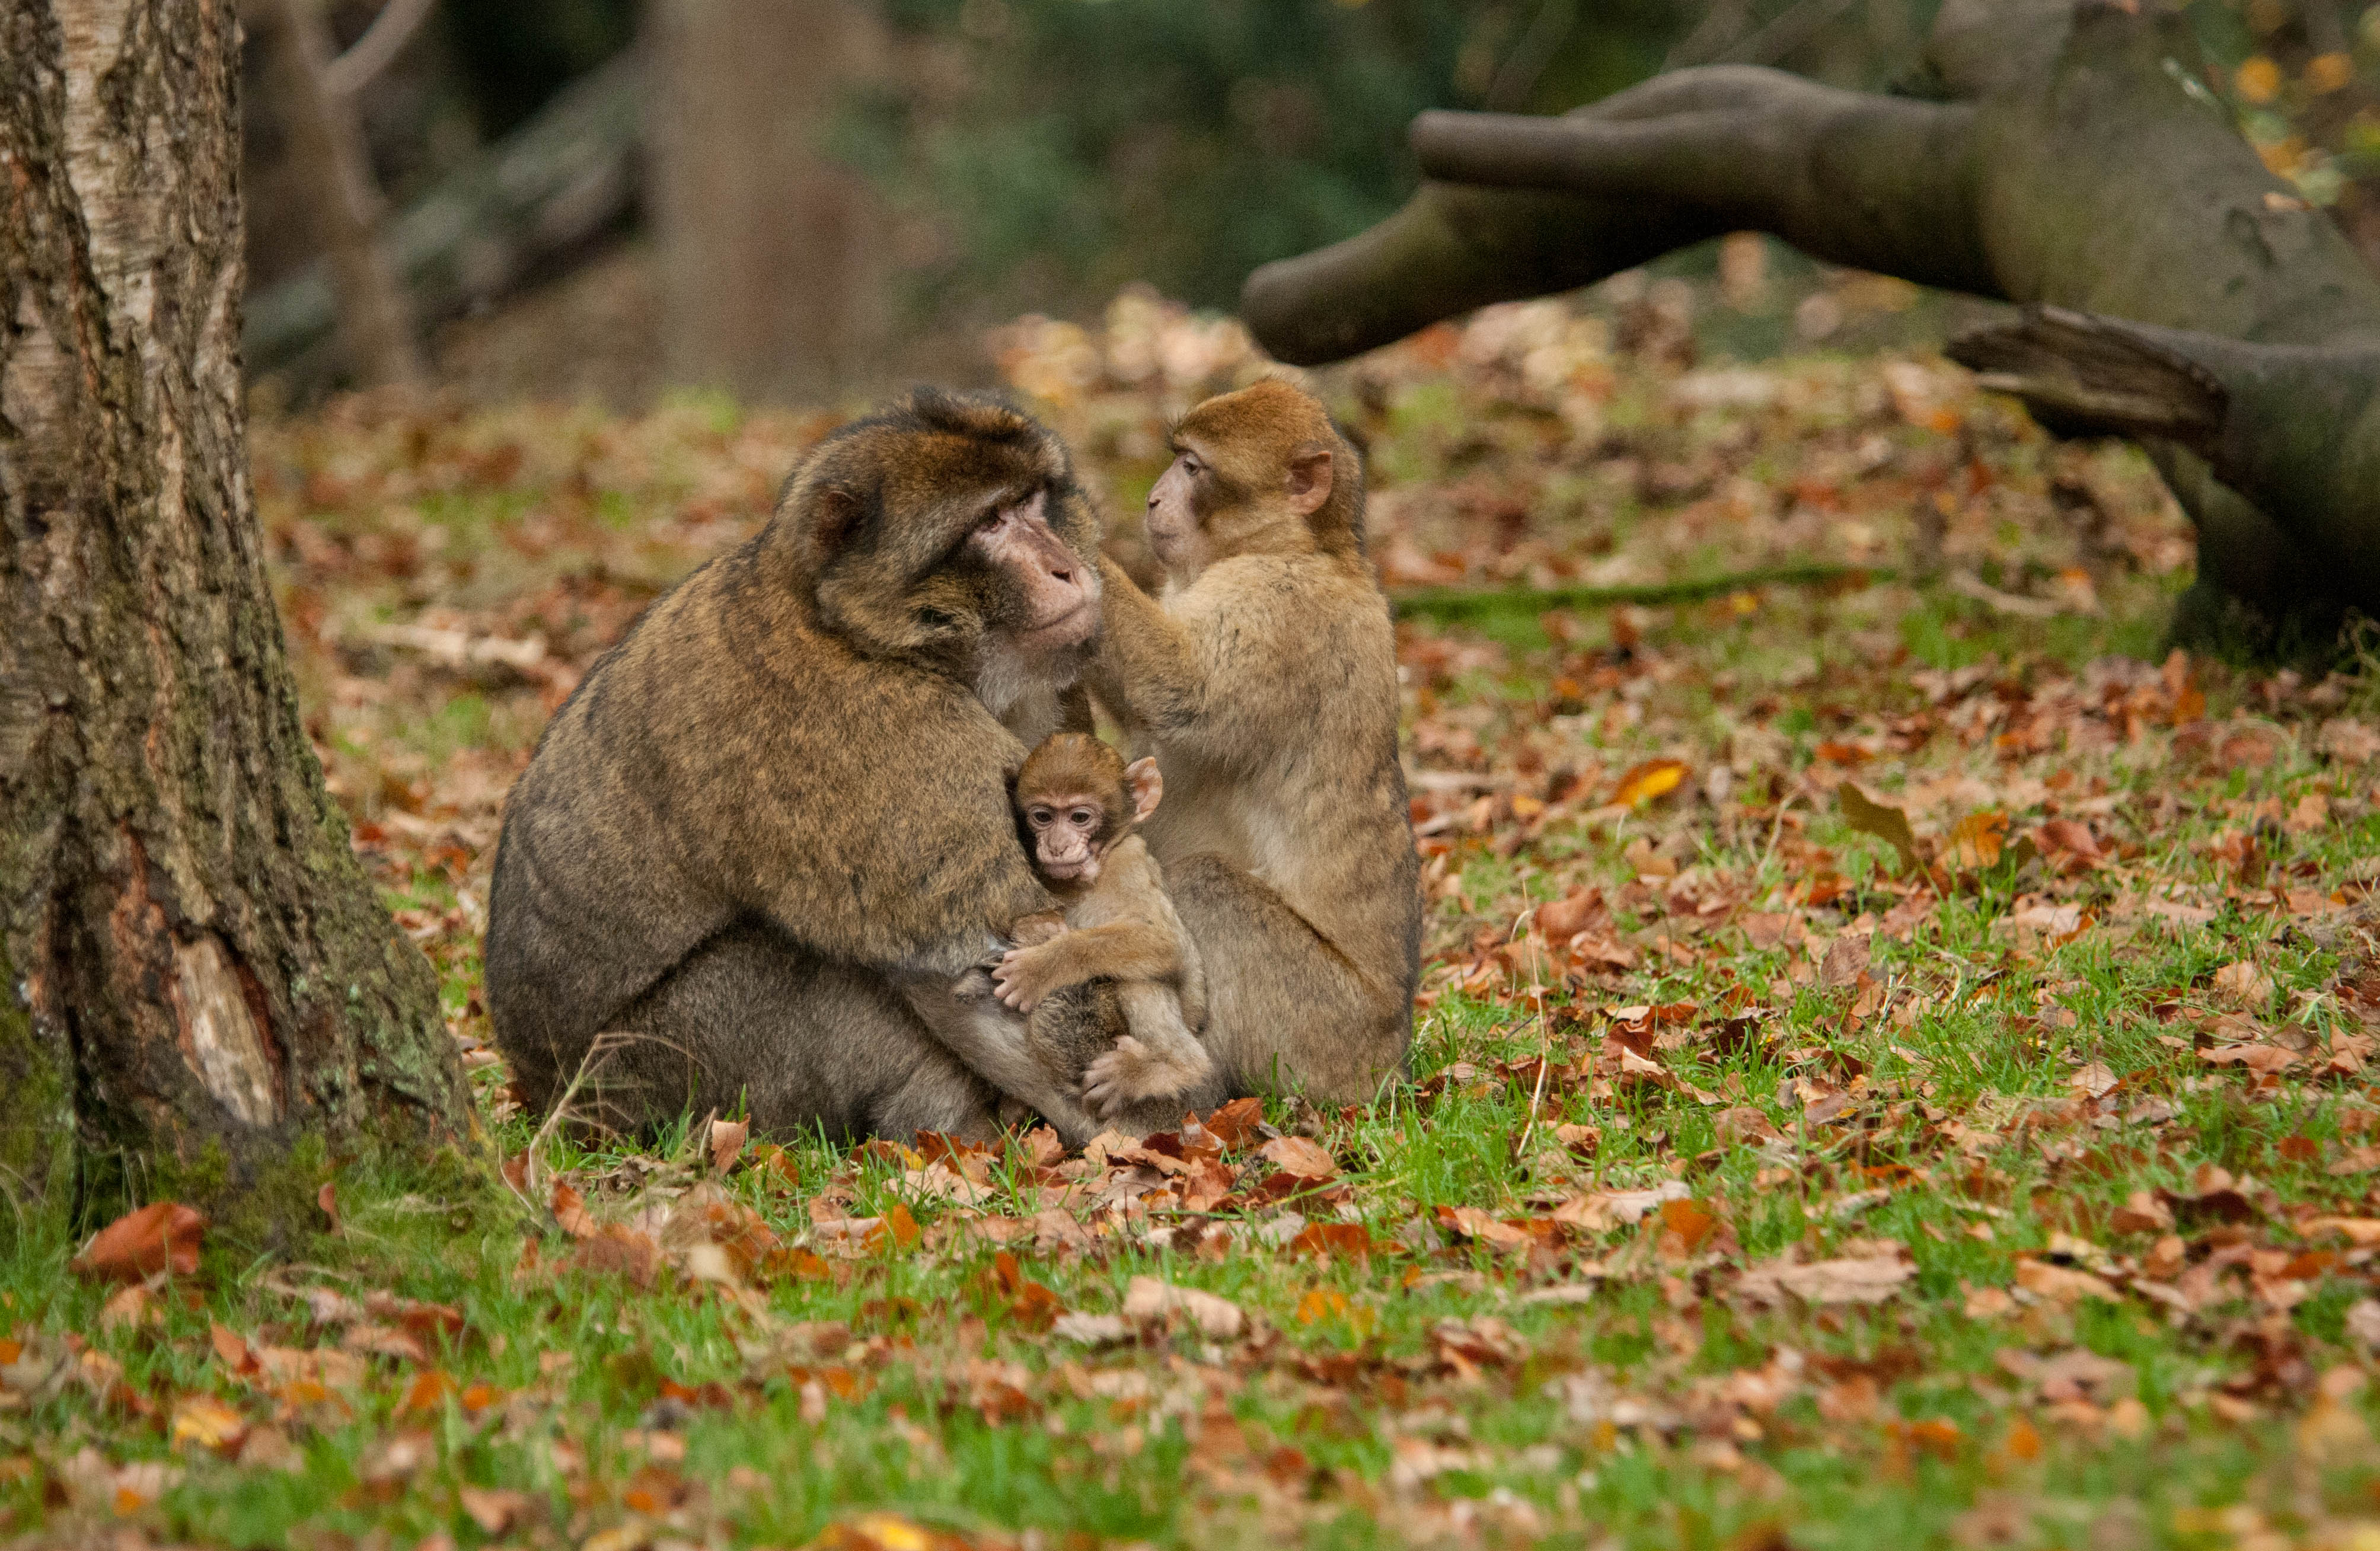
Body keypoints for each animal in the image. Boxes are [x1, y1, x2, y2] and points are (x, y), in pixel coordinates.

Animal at [484, 387, 1124, 1148]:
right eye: (991, 523)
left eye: (1033, 502)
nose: (1065, 568)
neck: (866, 634)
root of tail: (547, 1093)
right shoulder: (883, 739)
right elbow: (1004, 951)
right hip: (666, 1071)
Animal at [995, 732, 1221, 1121]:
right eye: (1043, 817)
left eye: (1080, 817)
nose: (1057, 845)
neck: (1089, 878)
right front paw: (1039, 927)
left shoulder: (1130, 862)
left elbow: (1164, 942)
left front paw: (1043, 966)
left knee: (1141, 979)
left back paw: (1168, 1068)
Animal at [1083, 377, 1422, 1108]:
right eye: (1175, 458)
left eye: (1192, 467)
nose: (1153, 499)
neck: (1301, 547)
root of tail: (1392, 1062)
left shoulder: (1275, 608)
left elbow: (1178, 692)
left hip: (1323, 1029)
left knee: (1206, 886)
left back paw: (1186, 1073)